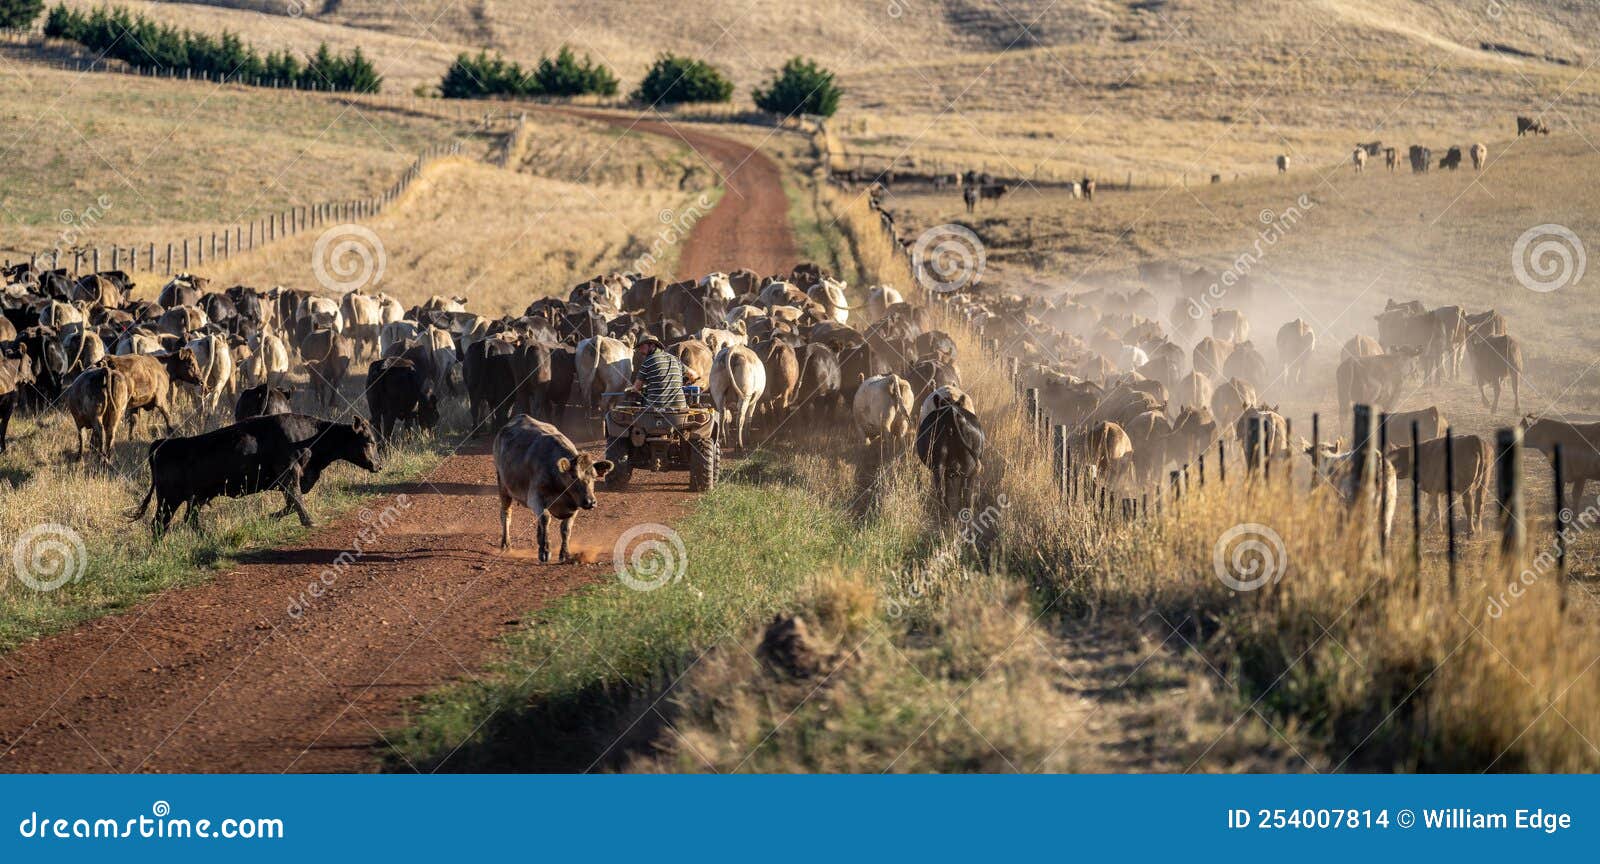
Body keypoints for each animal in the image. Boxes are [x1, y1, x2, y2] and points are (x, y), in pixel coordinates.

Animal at [130, 414, 381, 534]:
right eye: (369, 440)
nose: (378, 466)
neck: (309, 437)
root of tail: (162, 444)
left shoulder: (289, 482)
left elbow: (290, 504)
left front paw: (269, 517)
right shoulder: (290, 476)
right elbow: (297, 501)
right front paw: (309, 522)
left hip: (195, 498)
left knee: (189, 519)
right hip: (169, 500)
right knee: (159, 524)